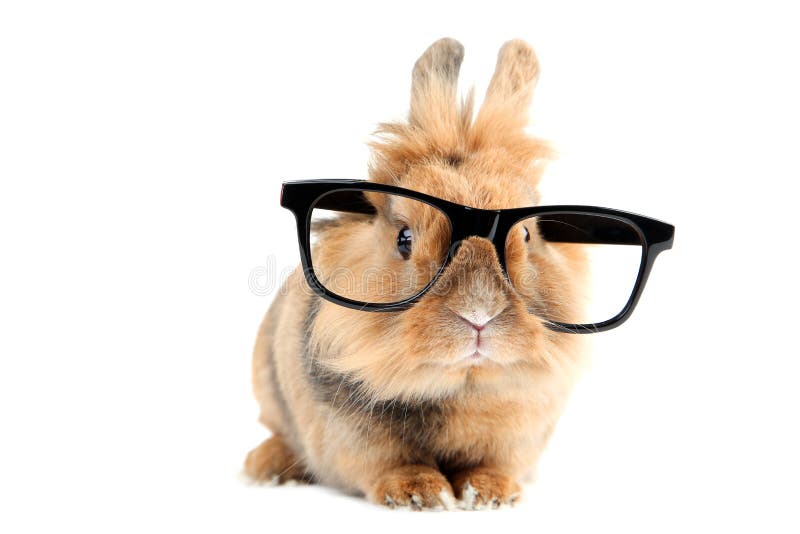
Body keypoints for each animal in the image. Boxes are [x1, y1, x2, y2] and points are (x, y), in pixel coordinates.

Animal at [244, 37, 589, 510]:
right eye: (404, 238)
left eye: (526, 235)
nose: (478, 315)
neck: (458, 386)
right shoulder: (356, 441)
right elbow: (392, 463)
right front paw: (421, 495)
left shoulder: (516, 438)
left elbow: (492, 465)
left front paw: (490, 495)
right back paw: (264, 469)